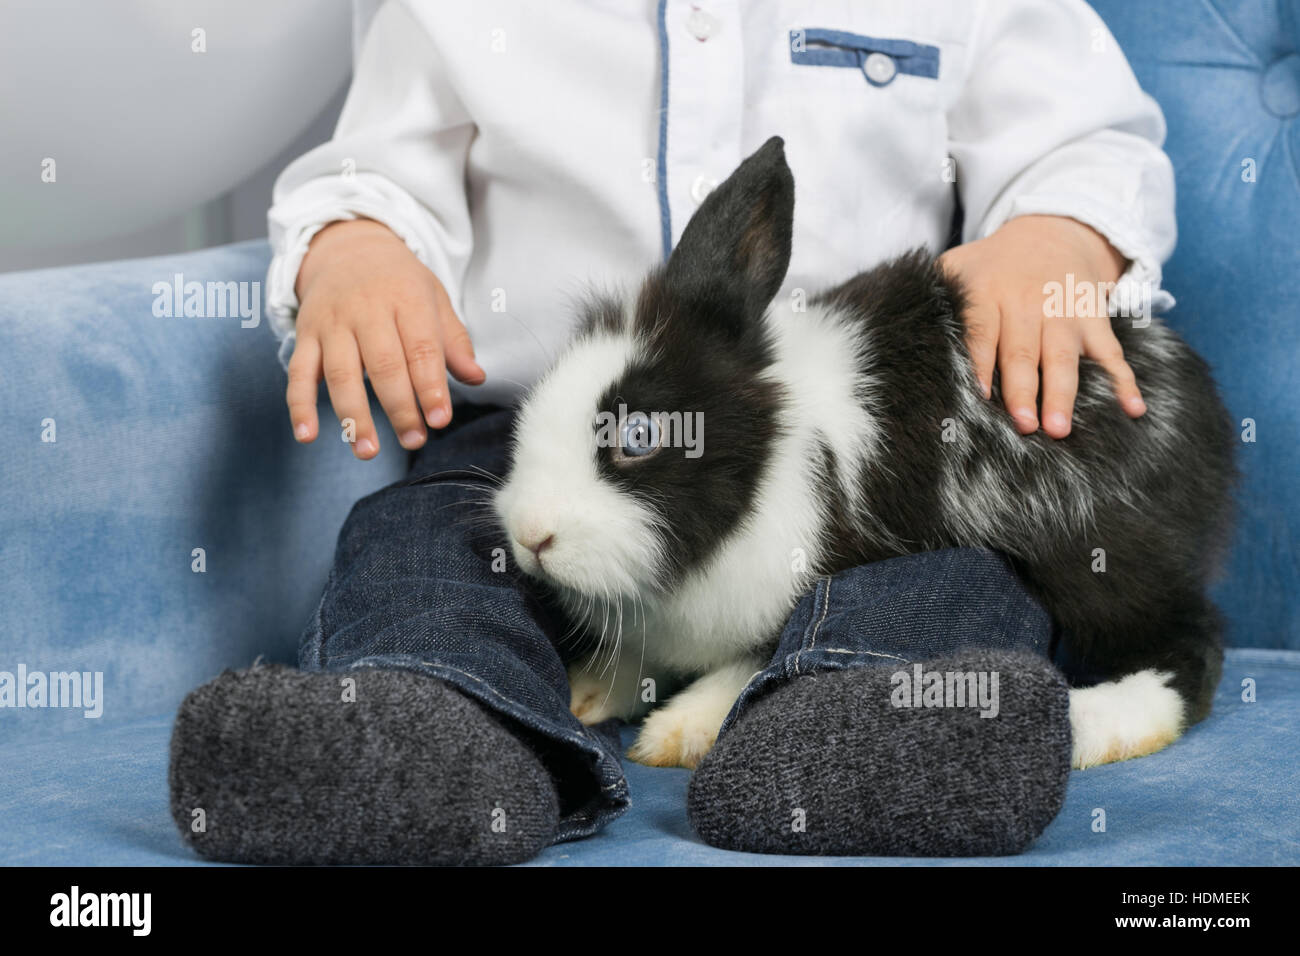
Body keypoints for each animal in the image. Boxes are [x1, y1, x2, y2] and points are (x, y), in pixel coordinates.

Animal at [494, 136, 1236, 771]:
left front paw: (676, 733)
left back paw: (1096, 722)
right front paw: (587, 694)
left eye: (639, 436)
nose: (531, 536)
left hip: (1099, 560)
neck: (768, 454)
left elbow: (754, 662)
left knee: (1187, 643)